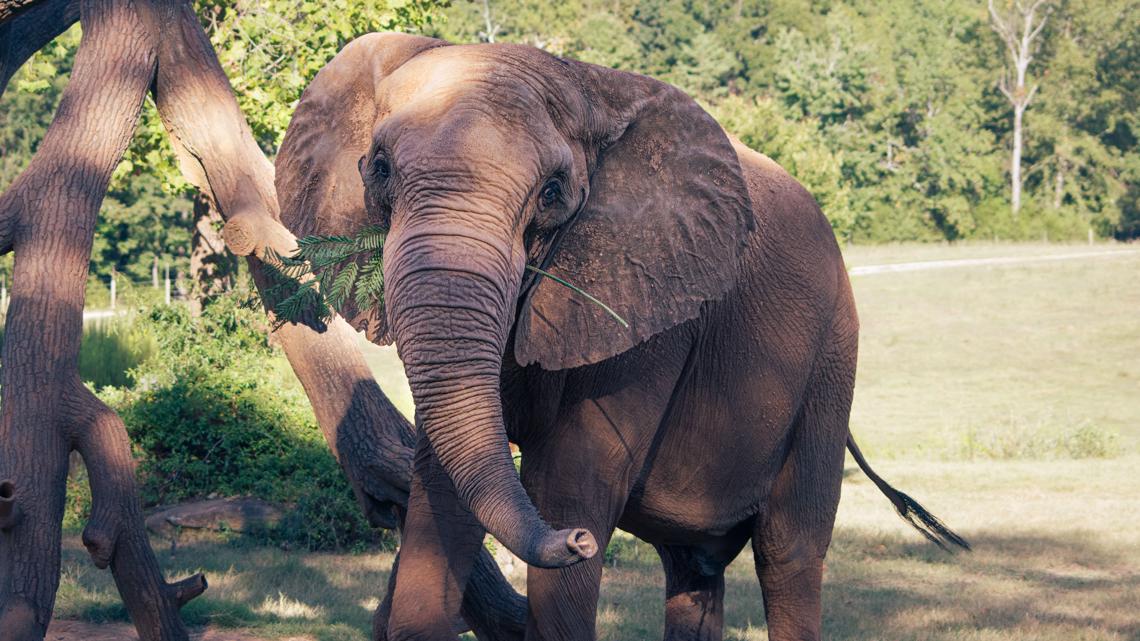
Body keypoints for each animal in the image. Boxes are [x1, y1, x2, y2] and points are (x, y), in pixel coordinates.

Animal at [275, 33, 969, 641]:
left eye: (553, 191)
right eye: (379, 168)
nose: (576, 541)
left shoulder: (651, 306)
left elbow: (571, 477)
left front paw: (575, 529)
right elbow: (439, 485)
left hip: (832, 359)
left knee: (789, 550)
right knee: (693, 566)